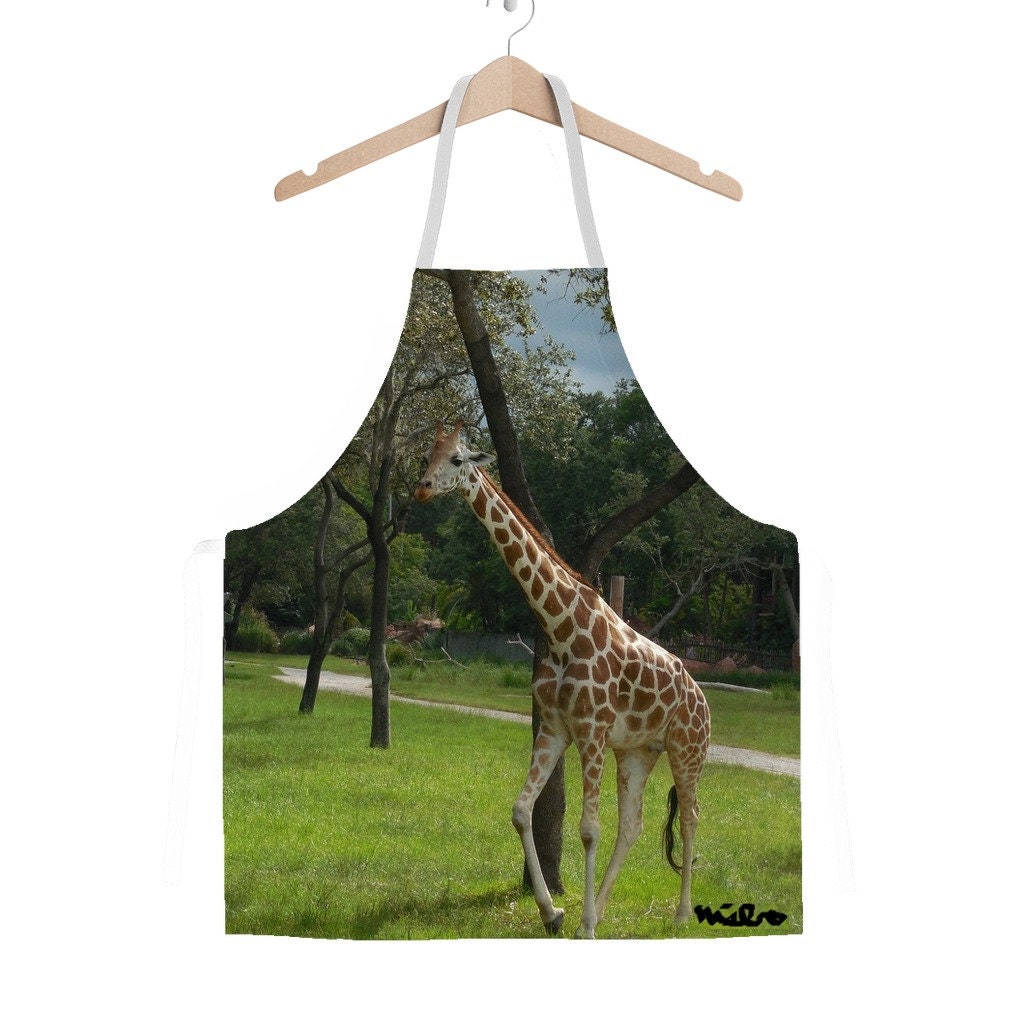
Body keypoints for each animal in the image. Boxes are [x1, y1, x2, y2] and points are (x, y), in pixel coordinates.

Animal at [414, 421, 710, 938]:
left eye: (457, 460)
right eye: (425, 454)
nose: (423, 488)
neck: (558, 624)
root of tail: (705, 702)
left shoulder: (591, 731)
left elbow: (588, 829)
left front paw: (583, 925)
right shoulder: (554, 728)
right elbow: (520, 810)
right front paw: (553, 913)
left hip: (686, 751)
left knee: (690, 817)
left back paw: (678, 913)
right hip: (638, 752)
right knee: (633, 824)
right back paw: (607, 908)